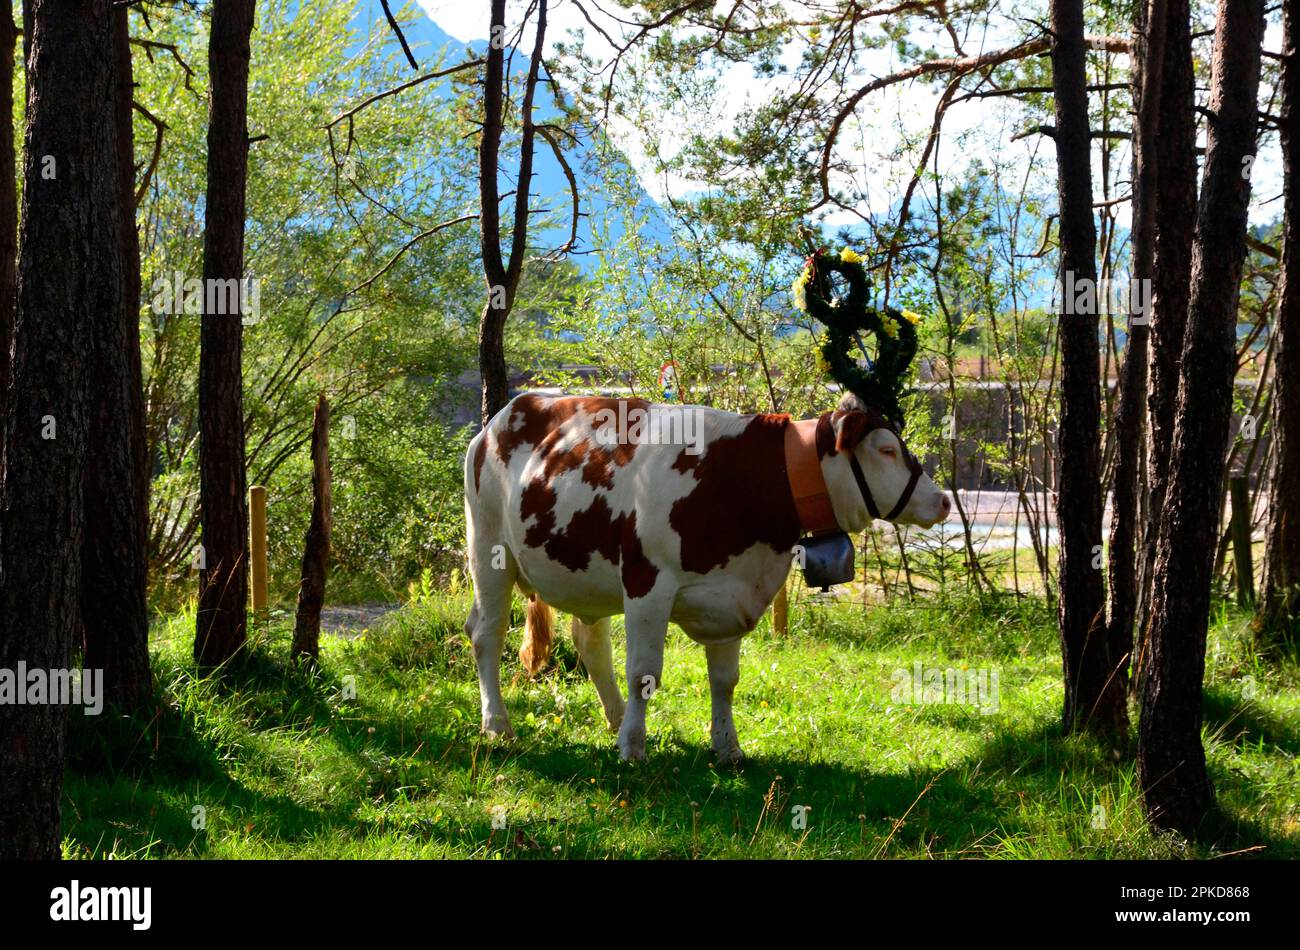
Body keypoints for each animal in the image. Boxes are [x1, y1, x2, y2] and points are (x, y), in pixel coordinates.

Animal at [462, 390, 951, 762]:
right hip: (489, 549)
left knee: (590, 643)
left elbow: (725, 682)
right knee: (487, 634)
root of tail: (507, 413)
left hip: (582, 573)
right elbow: (644, 673)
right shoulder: (646, 584)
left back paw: (615, 718)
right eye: (887, 450)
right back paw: (498, 724)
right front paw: (634, 749)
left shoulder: (734, 594)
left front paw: (727, 747)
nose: (944, 500)